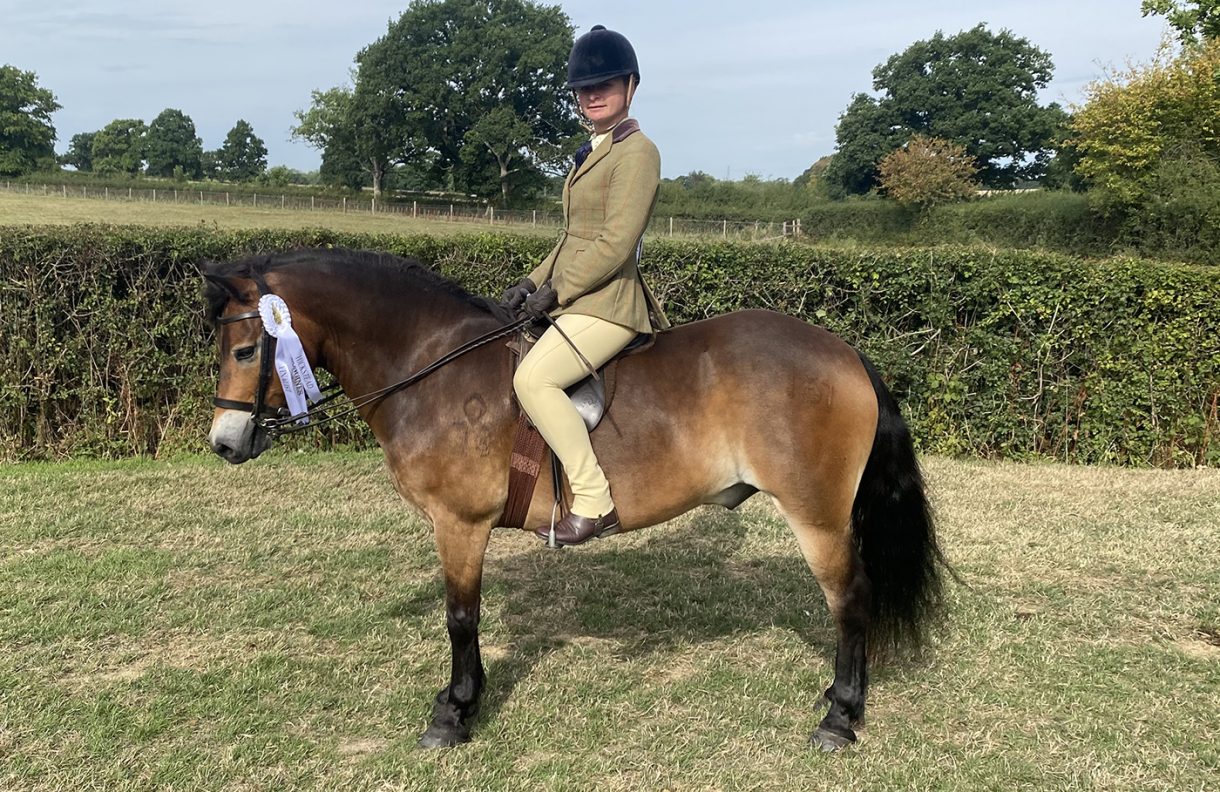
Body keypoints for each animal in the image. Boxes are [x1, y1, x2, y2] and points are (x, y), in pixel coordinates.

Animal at [201, 247, 944, 751]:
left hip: (816, 515)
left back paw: (840, 716)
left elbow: (460, 618)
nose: (225, 443)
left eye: (245, 350)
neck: (433, 369)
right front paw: (460, 699)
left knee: (849, 599)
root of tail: (845, 353)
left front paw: (455, 712)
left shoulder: (459, 524)